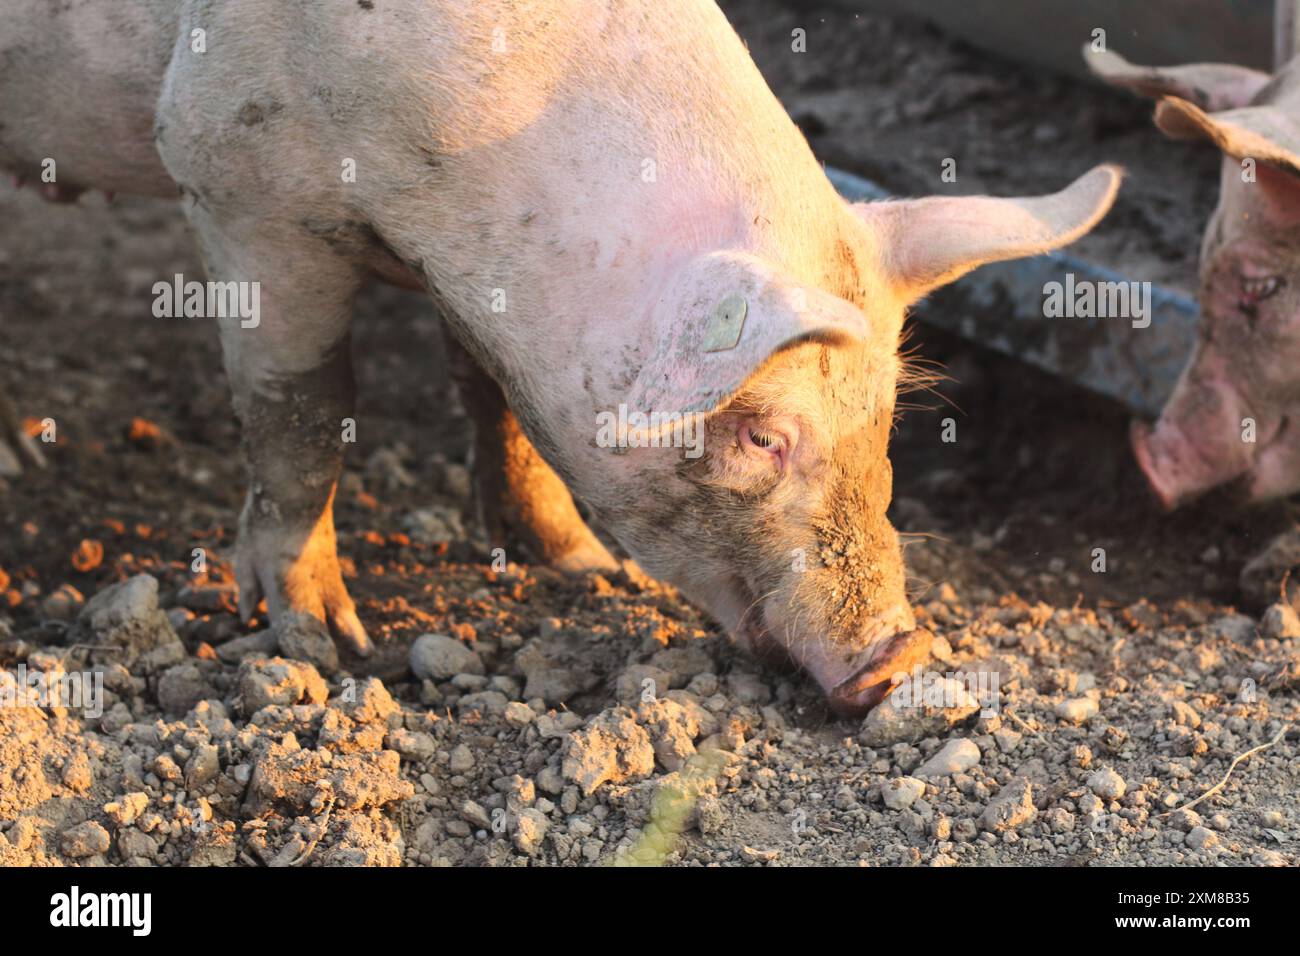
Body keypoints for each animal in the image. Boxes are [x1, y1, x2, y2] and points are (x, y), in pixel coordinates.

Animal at [0, 0, 1118, 714]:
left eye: (883, 424)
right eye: (763, 434)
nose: (900, 652)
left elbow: (490, 395)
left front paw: (577, 564)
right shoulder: (237, 182)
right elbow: (304, 410)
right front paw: (325, 639)